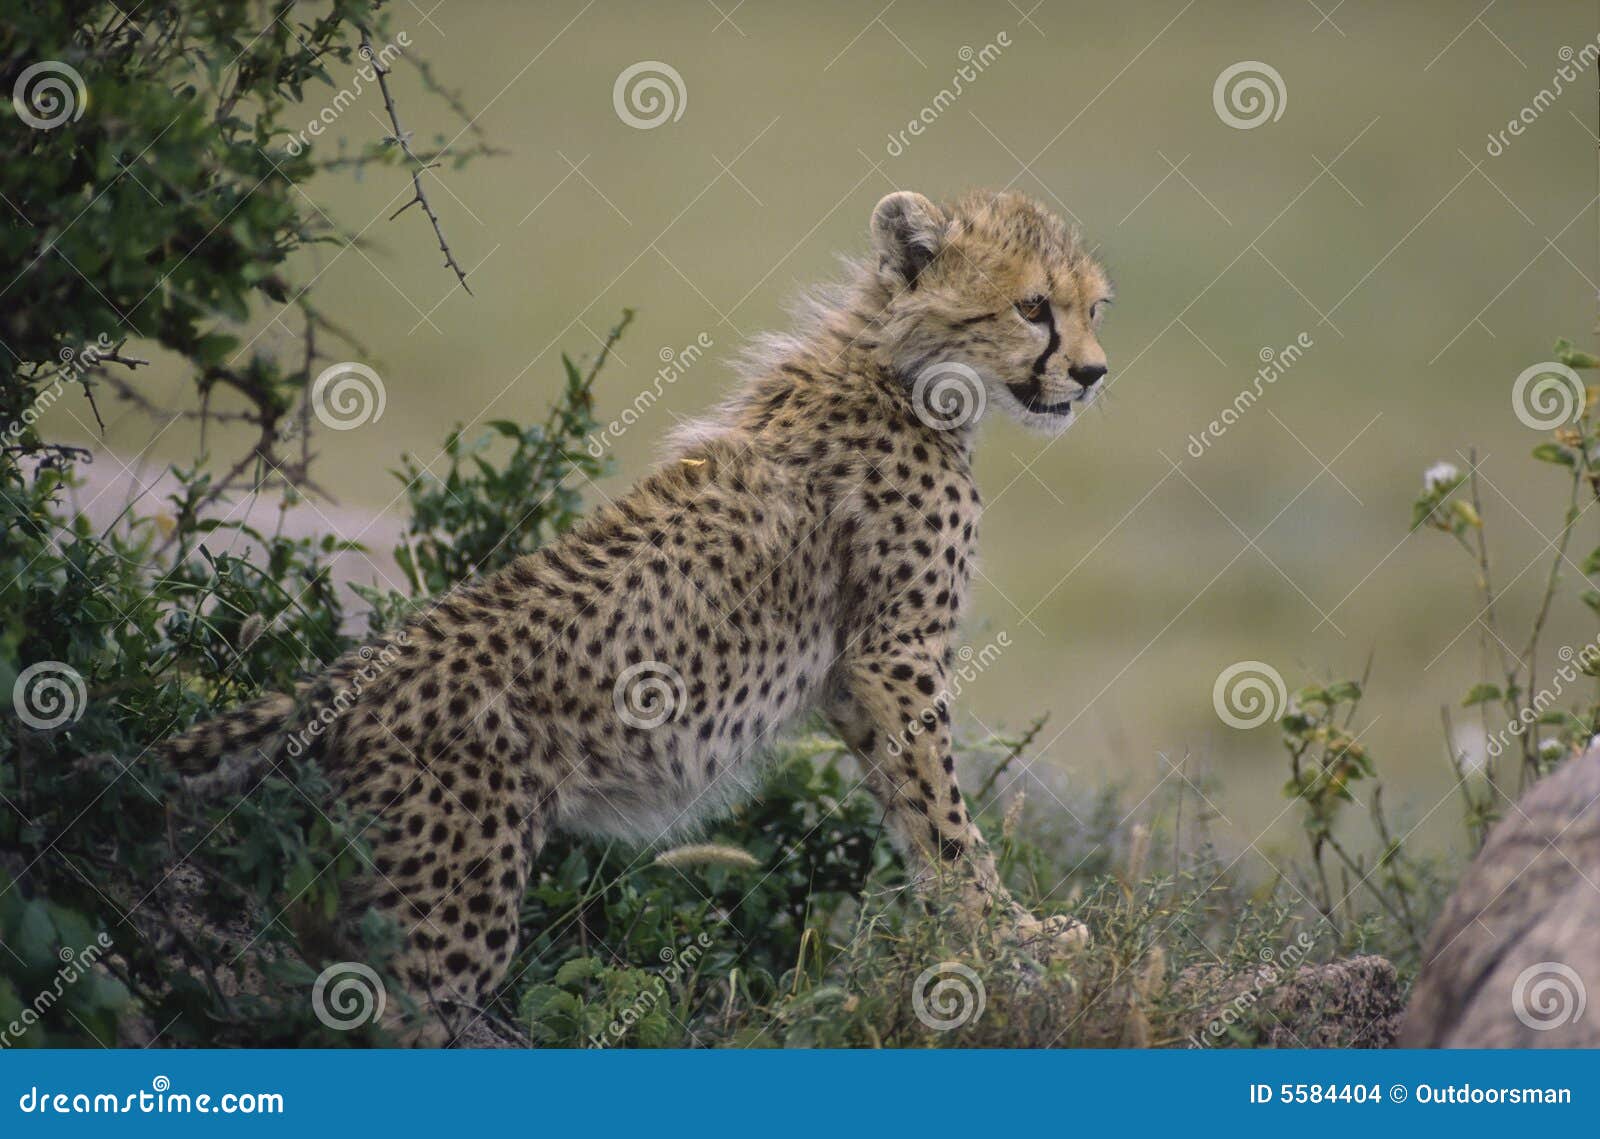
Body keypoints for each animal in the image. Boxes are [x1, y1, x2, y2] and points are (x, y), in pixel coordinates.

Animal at [159, 188, 1114, 1043]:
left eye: (1091, 308)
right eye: (1033, 306)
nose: (1093, 373)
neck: (901, 368)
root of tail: (362, 667)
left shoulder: (854, 679)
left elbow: (908, 802)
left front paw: (972, 930)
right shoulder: (894, 654)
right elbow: (944, 810)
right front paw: (1010, 936)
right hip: (446, 912)